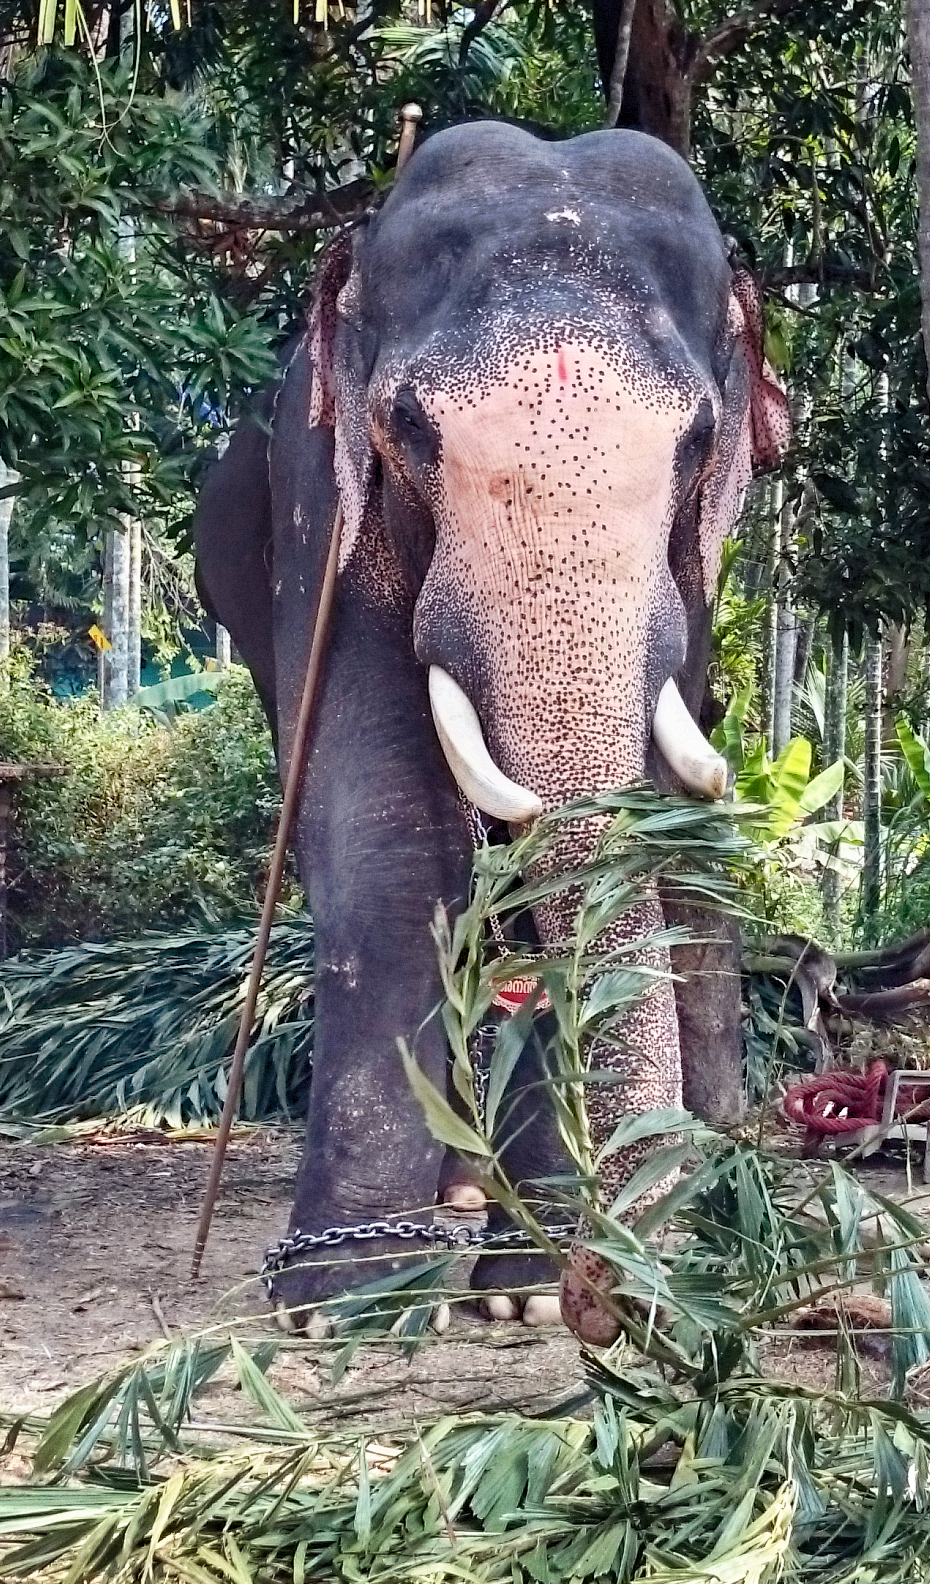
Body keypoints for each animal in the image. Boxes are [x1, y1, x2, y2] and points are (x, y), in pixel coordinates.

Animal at [194, 120, 790, 1346]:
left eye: (702, 437)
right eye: (410, 426)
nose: (611, 1300)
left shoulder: (694, 572)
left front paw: (527, 1289)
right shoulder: (321, 511)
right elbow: (381, 824)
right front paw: (343, 1299)